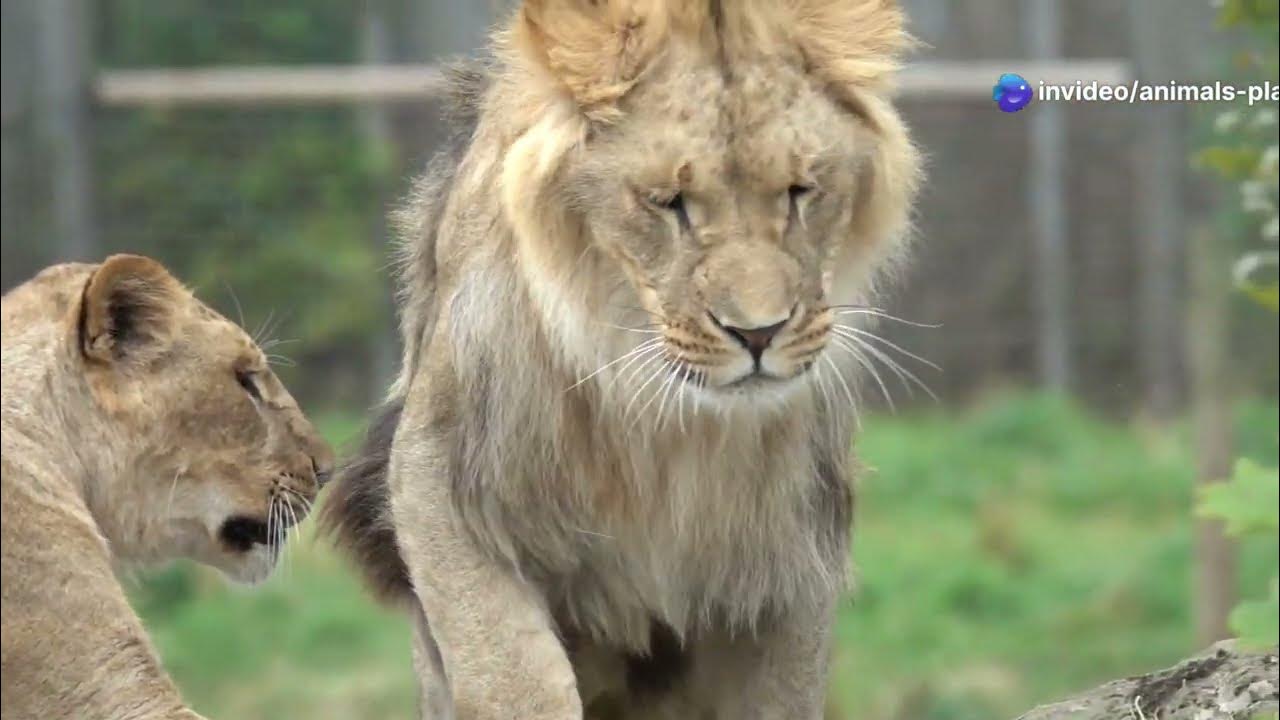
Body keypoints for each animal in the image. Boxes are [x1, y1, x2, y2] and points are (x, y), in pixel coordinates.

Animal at [323, 1, 922, 718]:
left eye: (801, 191)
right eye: (668, 203)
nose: (760, 334)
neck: (662, 423)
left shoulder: (794, 549)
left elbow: (780, 690)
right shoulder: (441, 476)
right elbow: (511, 670)